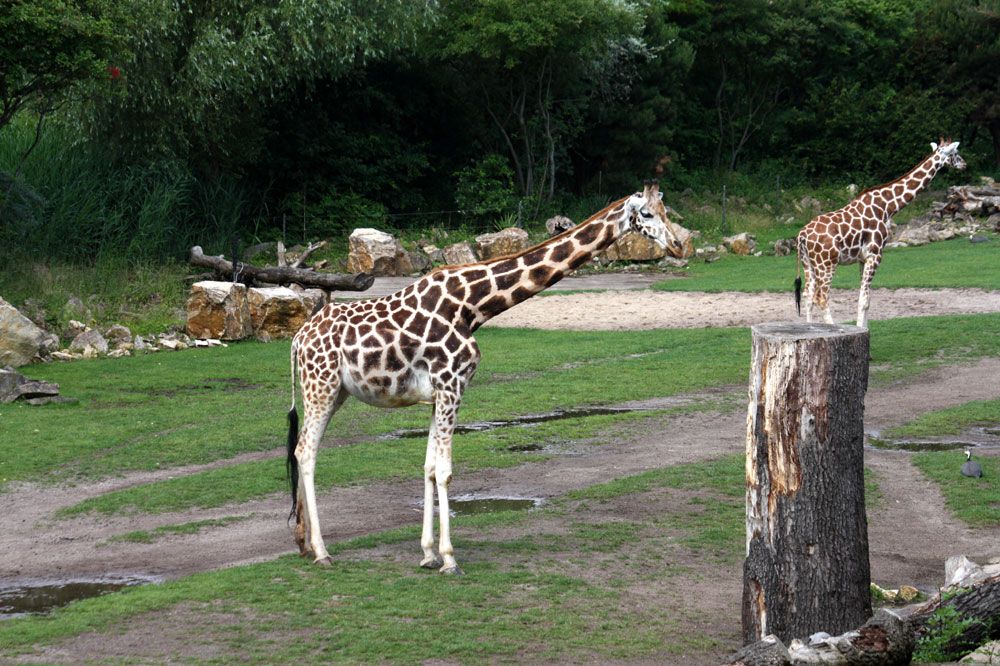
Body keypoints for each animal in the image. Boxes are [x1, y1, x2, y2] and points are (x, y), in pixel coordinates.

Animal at [286, 181, 682, 573]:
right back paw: (321, 551)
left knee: (302, 448)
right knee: (306, 451)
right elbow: (445, 471)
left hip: (334, 391)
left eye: (667, 211)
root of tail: (297, 339)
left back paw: (303, 544)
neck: (473, 305)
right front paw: (449, 559)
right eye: (647, 214)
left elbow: (429, 467)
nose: (679, 246)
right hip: (320, 387)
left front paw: (428, 554)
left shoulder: (438, 393)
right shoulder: (452, 385)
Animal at [795, 139, 966, 328]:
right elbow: (864, 300)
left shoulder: (863, 258)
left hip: (809, 264)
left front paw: (863, 329)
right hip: (827, 263)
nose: (964, 164)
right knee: (821, 298)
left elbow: (866, 299)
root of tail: (802, 235)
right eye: (955, 153)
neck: (887, 207)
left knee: (808, 296)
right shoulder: (875, 254)